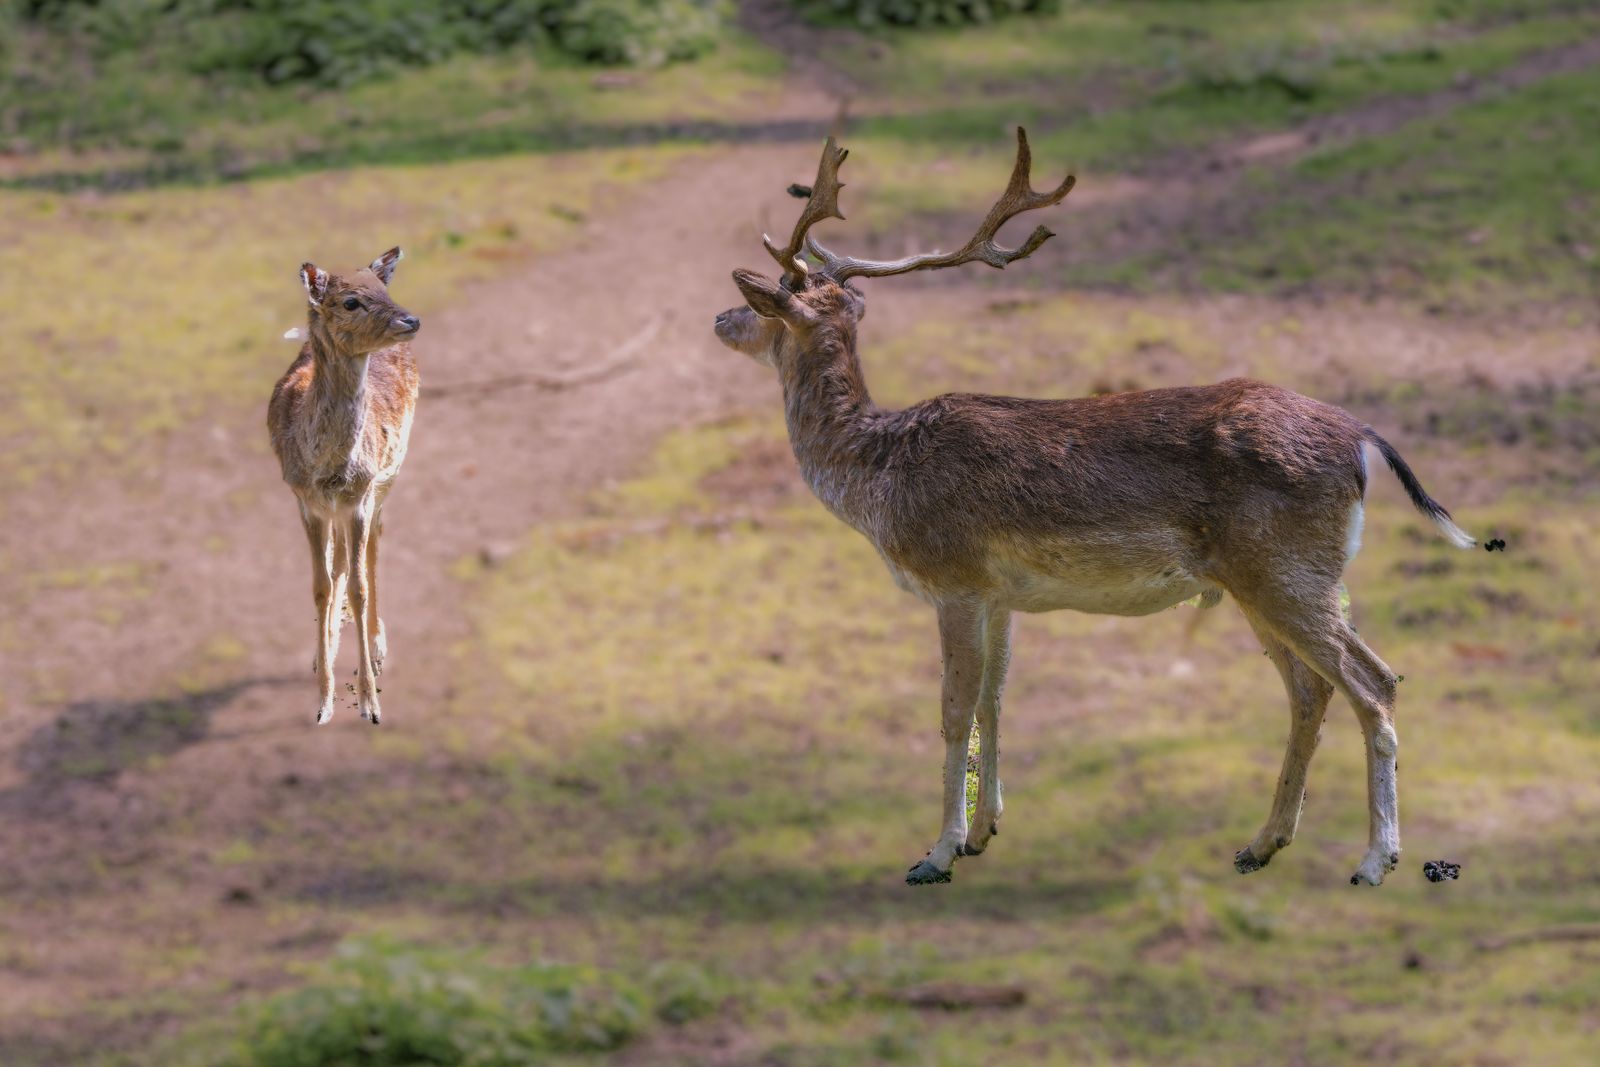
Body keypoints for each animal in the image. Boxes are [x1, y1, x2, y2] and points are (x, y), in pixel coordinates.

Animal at [268, 247, 420, 727]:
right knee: (337, 563)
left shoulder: (359, 496)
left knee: (373, 548)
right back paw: (328, 647)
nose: (411, 319)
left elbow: (359, 585)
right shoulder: (305, 500)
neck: (330, 469)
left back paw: (376, 645)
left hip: (388, 478)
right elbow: (321, 584)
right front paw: (323, 700)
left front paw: (371, 703)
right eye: (351, 301)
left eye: (383, 291)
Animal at [712, 129, 1480, 888]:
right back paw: (1261, 844)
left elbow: (954, 709)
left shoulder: (955, 578)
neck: (878, 479)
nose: (719, 315)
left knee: (1374, 682)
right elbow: (995, 698)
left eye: (768, 298)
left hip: (1288, 572)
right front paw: (984, 832)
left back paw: (1375, 859)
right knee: (1311, 690)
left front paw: (936, 853)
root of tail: (1362, 439)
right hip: (1268, 582)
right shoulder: (1000, 594)